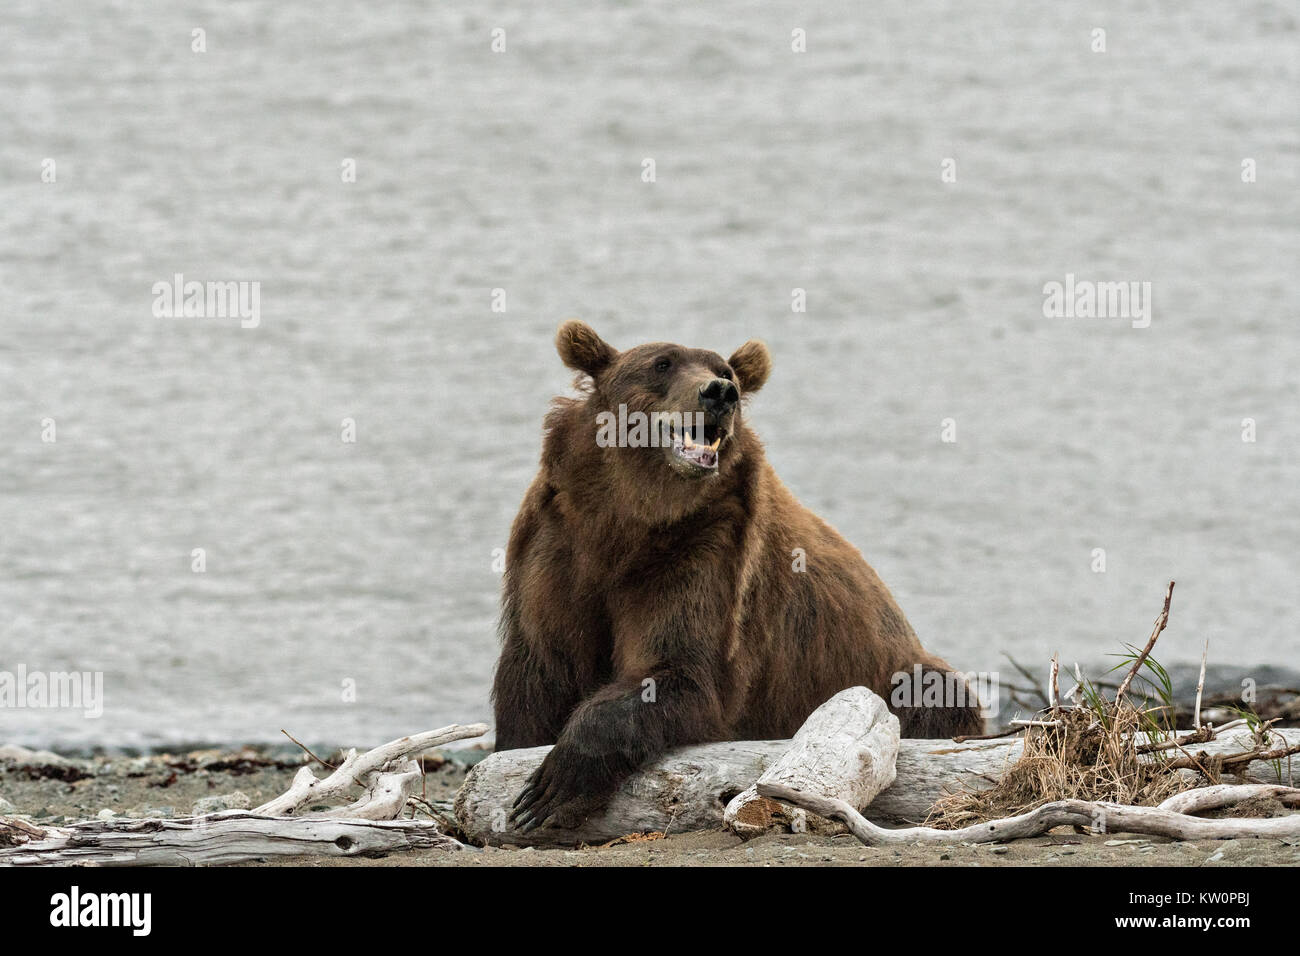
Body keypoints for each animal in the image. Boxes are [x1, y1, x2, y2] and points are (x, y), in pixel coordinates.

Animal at [493, 321, 982, 831]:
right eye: (661, 364)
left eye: (725, 370)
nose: (719, 392)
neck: (629, 519)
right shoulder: (560, 545)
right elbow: (540, 670)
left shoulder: (705, 550)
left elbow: (680, 669)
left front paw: (554, 786)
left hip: (893, 670)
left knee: (937, 692)